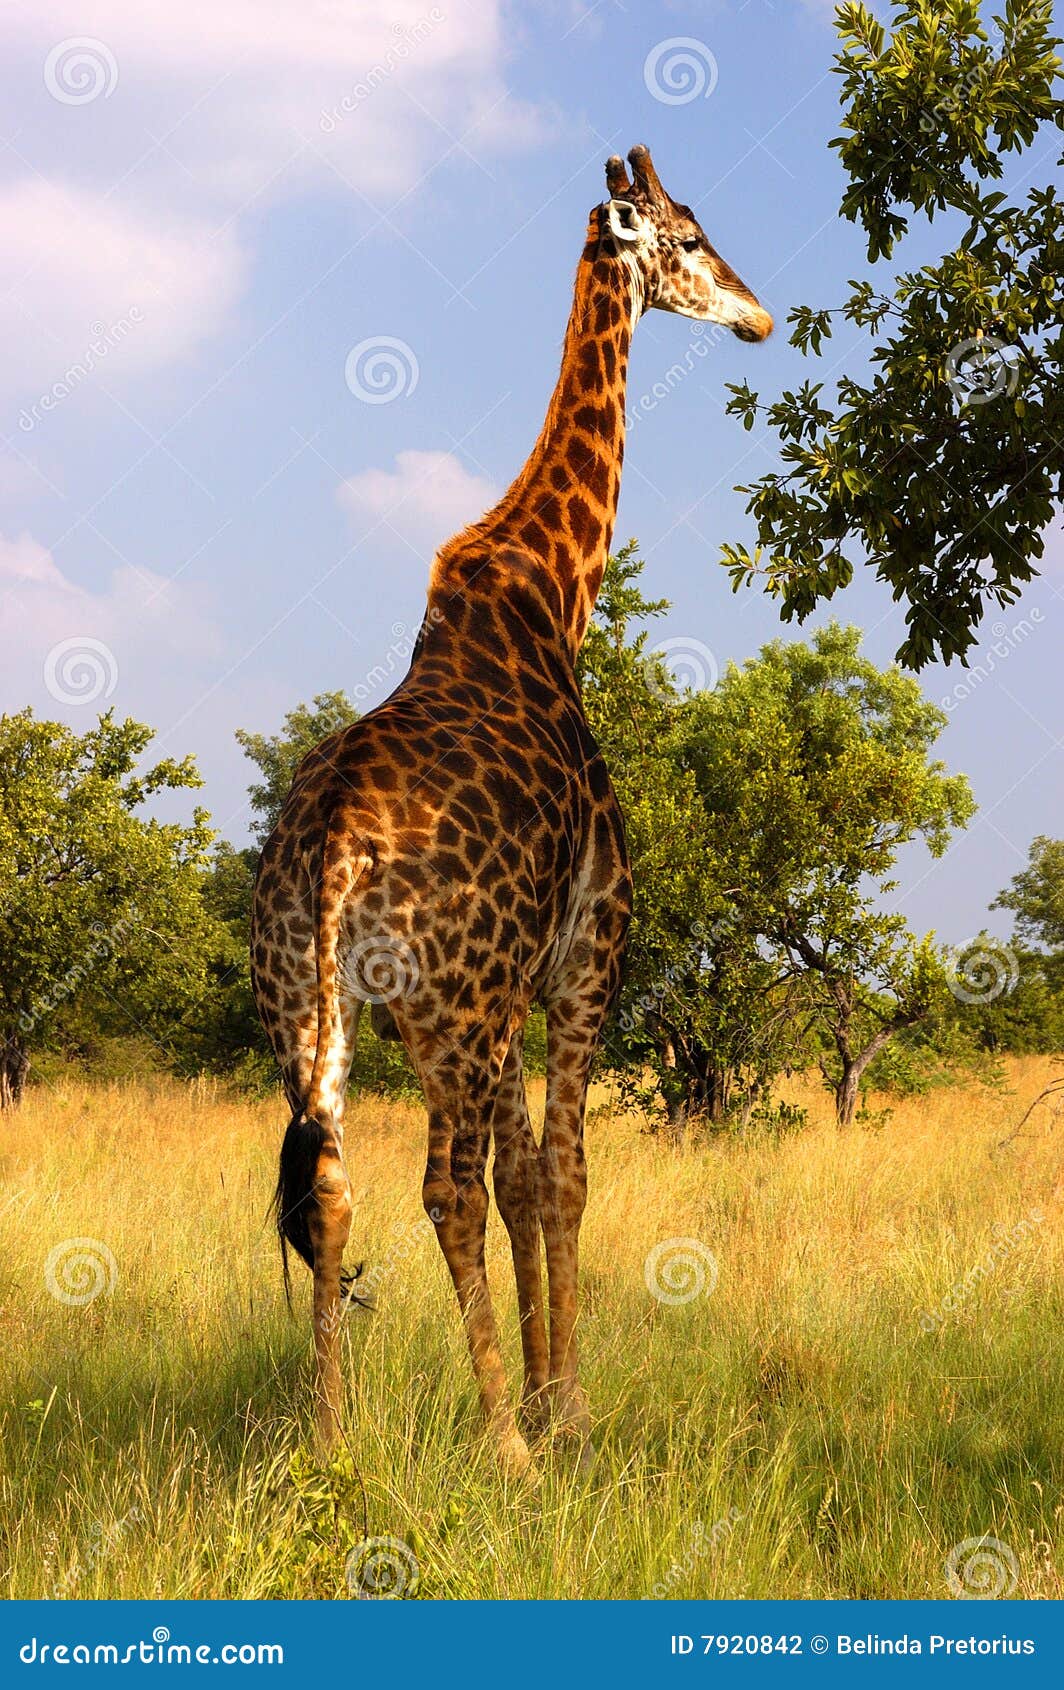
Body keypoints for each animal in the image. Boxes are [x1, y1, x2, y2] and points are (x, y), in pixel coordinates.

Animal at [251, 145, 772, 1475]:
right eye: (689, 237)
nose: (757, 314)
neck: (552, 593)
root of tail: (332, 854)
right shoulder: (587, 952)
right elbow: (561, 1172)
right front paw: (561, 1407)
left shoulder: (513, 989)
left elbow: (527, 1175)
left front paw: (543, 1391)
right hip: (458, 1007)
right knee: (444, 1186)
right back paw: (499, 1441)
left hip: (314, 1016)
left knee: (332, 1188)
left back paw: (329, 1436)